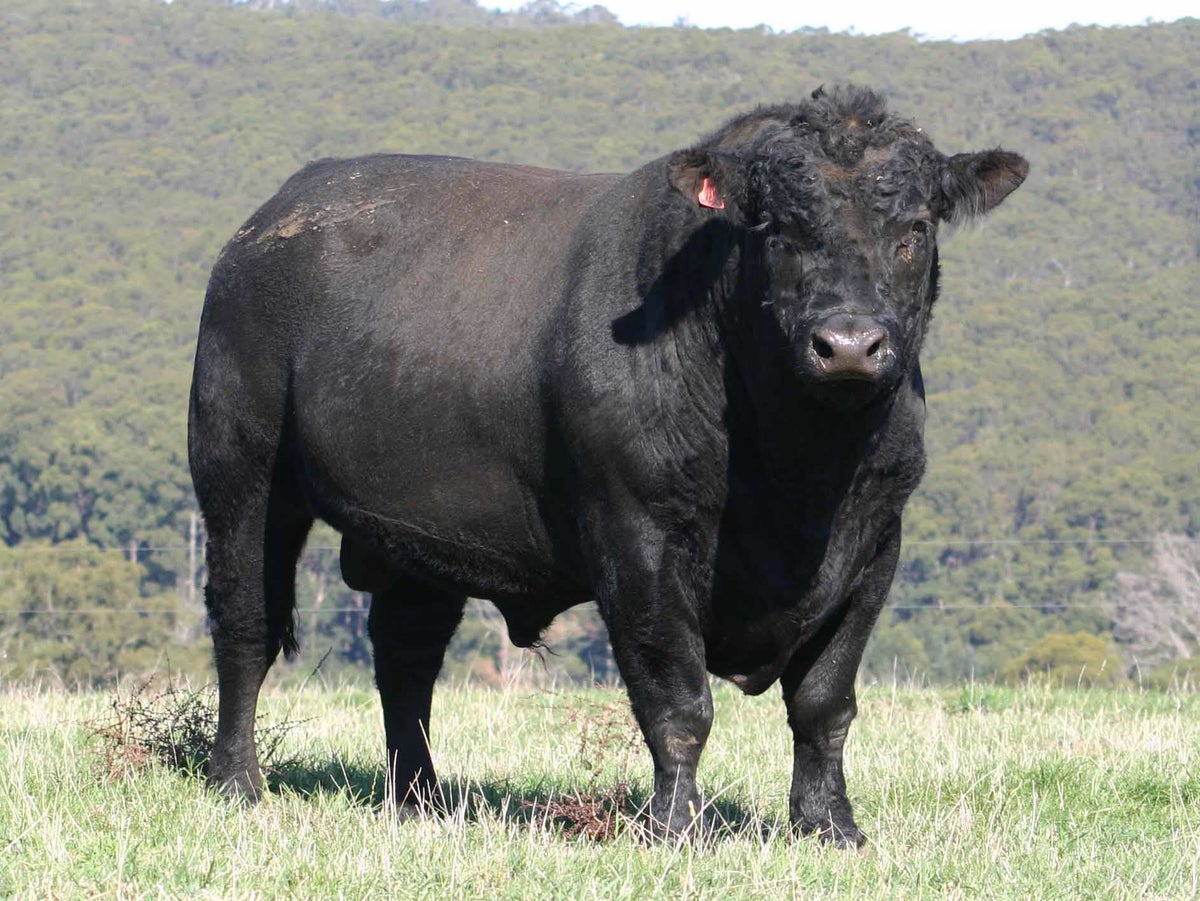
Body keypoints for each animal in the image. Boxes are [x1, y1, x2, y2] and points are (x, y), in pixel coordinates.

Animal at [189, 85, 1026, 845]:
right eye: (777, 228)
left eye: (915, 228)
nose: (848, 344)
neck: (800, 469)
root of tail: (273, 217)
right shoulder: (639, 533)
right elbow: (677, 699)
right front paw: (675, 826)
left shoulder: (875, 546)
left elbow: (825, 701)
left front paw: (831, 825)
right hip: (240, 475)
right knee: (246, 626)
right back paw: (238, 781)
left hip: (419, 528)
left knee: (406, 656)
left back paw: (421, 797)